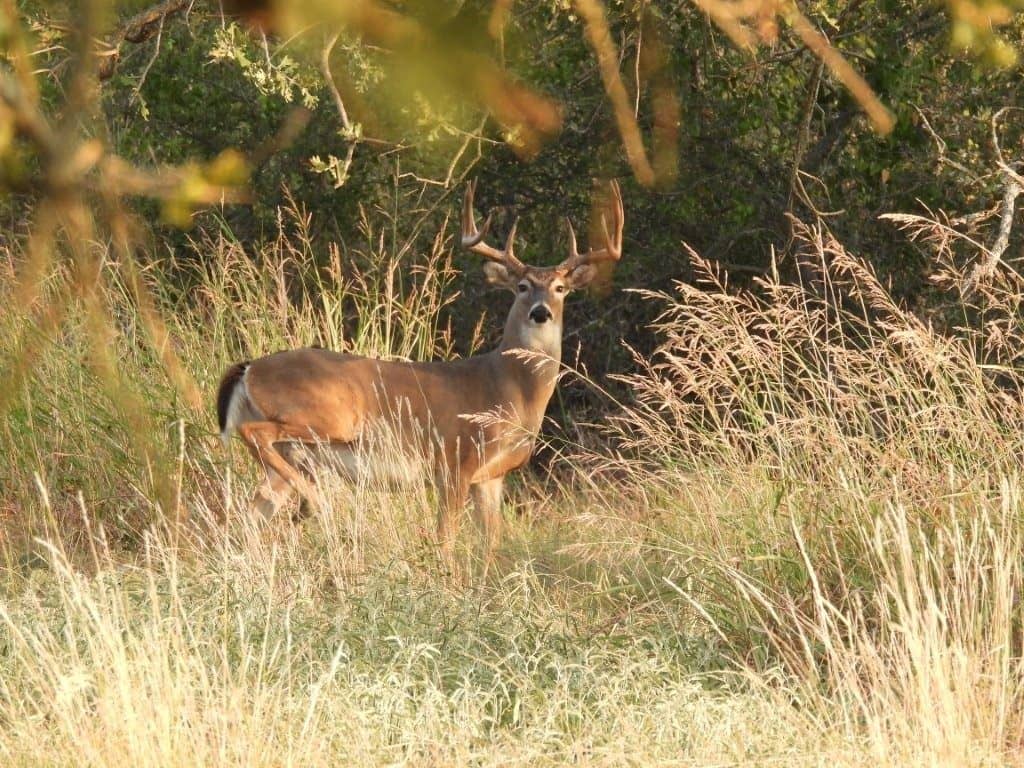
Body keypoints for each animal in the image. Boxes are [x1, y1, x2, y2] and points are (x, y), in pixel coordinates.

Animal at [216, 180, 624, 567]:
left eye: (560, 288)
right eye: (522, 286)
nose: (541, 312)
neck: (508, 390)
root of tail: (249, 368)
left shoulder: (492, 476)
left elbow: (491, 544)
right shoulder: (456, 461)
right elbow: (446, 540)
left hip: (296, 454)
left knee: (250, 515)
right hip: (327, 418)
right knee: (254, 434)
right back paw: (316, 503)